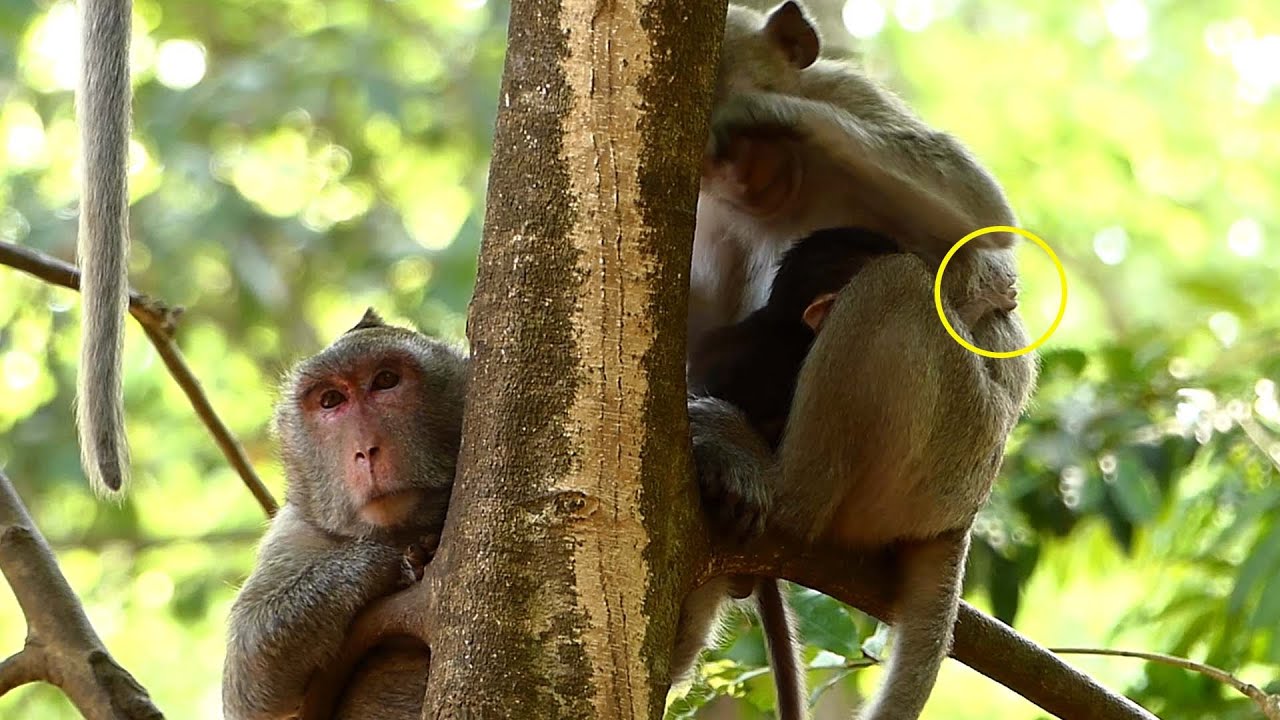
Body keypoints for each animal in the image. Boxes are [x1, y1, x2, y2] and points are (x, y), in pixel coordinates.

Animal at [222, 309, 467, 720]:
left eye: (385, 381)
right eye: (330, 400)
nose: (365, 450)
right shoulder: (294, 532)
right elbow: (248, 674)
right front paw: (386, 562)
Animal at [685, 4, 1038, 720]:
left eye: (746, 147)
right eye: (711, 169)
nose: (744, 179)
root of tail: (964, 515)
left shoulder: (849, 96)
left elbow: (984, 219)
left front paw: (765, 108)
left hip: (951, 453)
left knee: (895, 288)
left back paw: (775, 489)